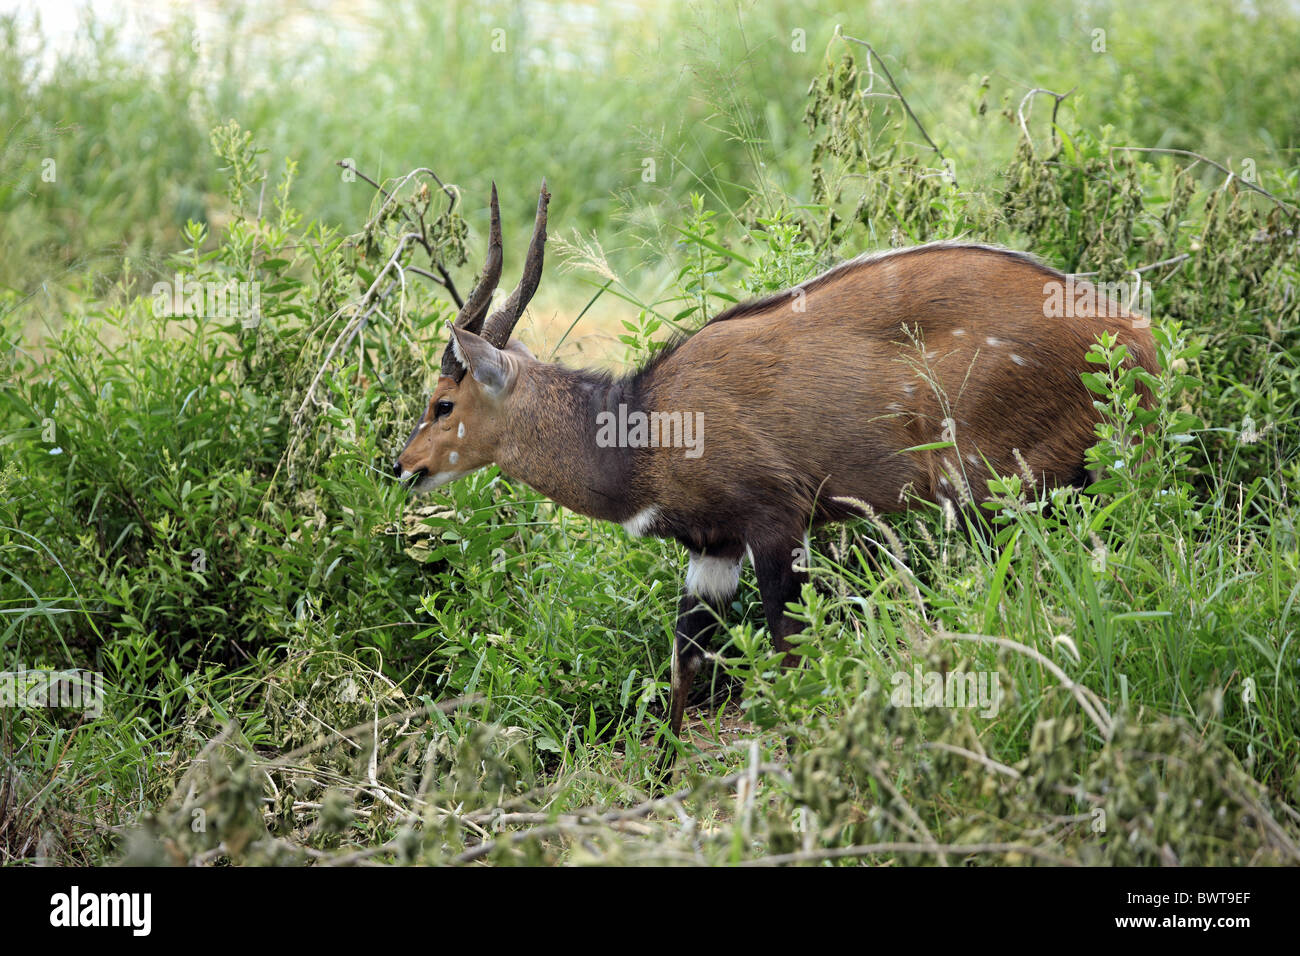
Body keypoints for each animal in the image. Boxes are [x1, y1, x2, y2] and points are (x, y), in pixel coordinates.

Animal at [394, 182, 1159, 769]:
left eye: (442, 402)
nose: (401, 467)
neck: (638, 433)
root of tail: (1139, 339)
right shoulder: (712, 546)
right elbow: (685, 659)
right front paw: (662, 778)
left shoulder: (774, 521)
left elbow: (789, 648)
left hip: (985, 486)